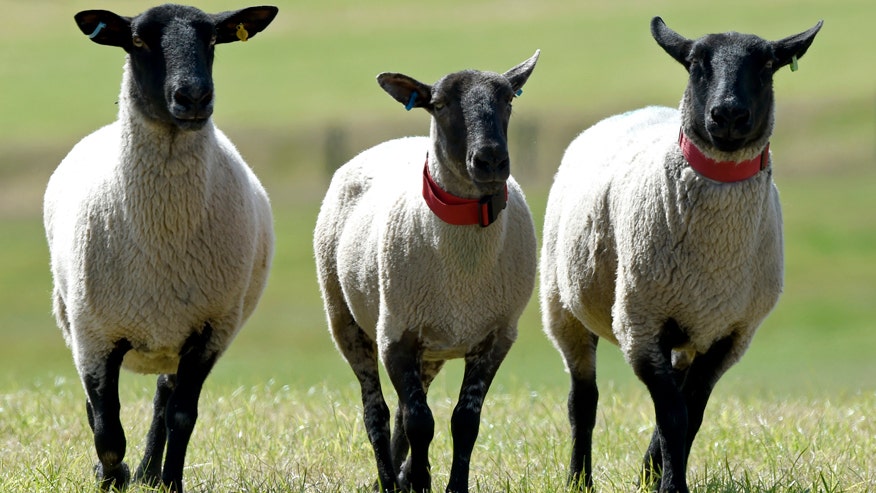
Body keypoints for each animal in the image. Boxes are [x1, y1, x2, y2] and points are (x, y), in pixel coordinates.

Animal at [42, 4, 278, 492]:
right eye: (138, 41)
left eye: (213, 40)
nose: (194, 97)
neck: (162, 240)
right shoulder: (95, 335)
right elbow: (107, 429)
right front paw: (112, 475)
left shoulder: (209, 330)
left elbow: (181, 416)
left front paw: (169, 483)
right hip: (73, 317)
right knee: (97, 409)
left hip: (174, 335)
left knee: (163, 398)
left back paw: (151, 473)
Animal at [314, 51, 540, 493]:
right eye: (439, 104)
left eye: (508, 99)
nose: (490, 160)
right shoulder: (395, 335)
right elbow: (420, 422)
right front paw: (418, 482)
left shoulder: (495, 337)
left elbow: (464, 422)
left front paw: (449, 486)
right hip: (344, 317)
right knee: (378, 412)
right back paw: (388, 480)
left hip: (431, 345)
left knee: (402, 412)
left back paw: (399, 476)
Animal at [539, 17, 822, 493]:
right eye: (695, 63)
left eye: (767, 65)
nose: (728, 114)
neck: (716, 252)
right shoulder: (640, 323)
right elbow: (672, 416)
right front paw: (671, 485)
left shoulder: (730, 335)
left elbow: (690, 415)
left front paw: (659, 476)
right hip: (562, 306)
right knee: (583, 401)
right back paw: (580, 479)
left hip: (690, 325)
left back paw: (646, 471)